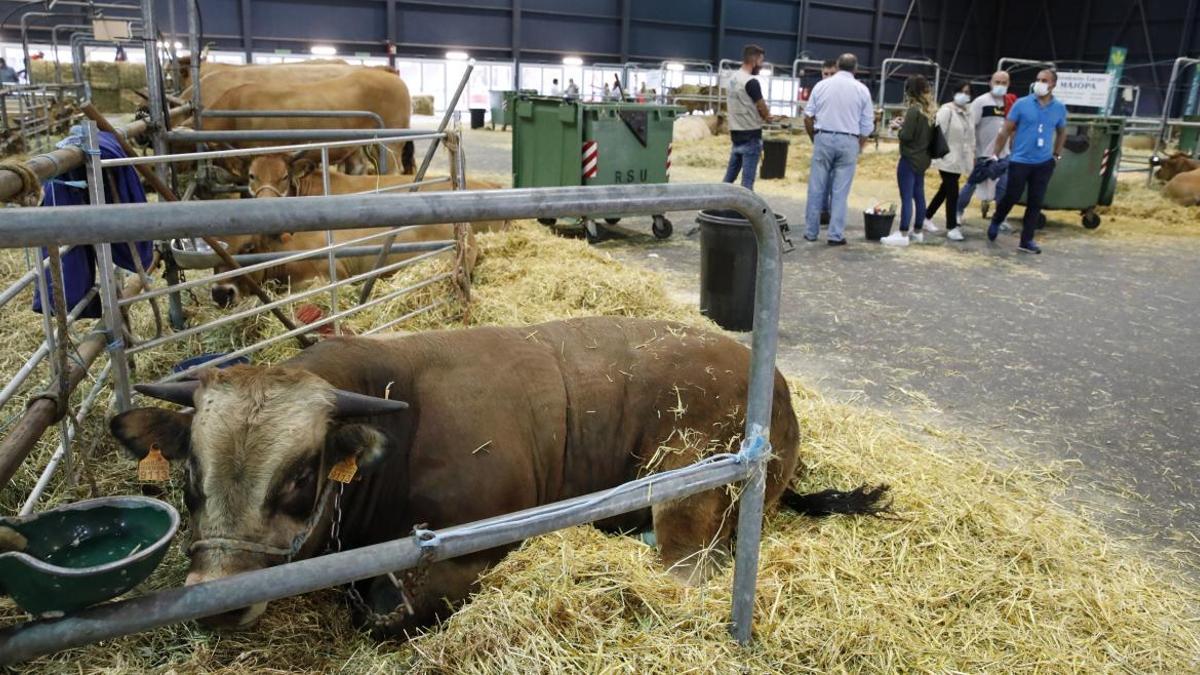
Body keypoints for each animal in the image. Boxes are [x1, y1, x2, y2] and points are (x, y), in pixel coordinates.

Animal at [110, 316, 889, 635]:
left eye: (302, 475)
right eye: (190, 475)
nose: (215, 601)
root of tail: (774, 382)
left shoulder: (475, 547)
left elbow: (389, 611)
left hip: (688, 484)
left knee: (687, 573)